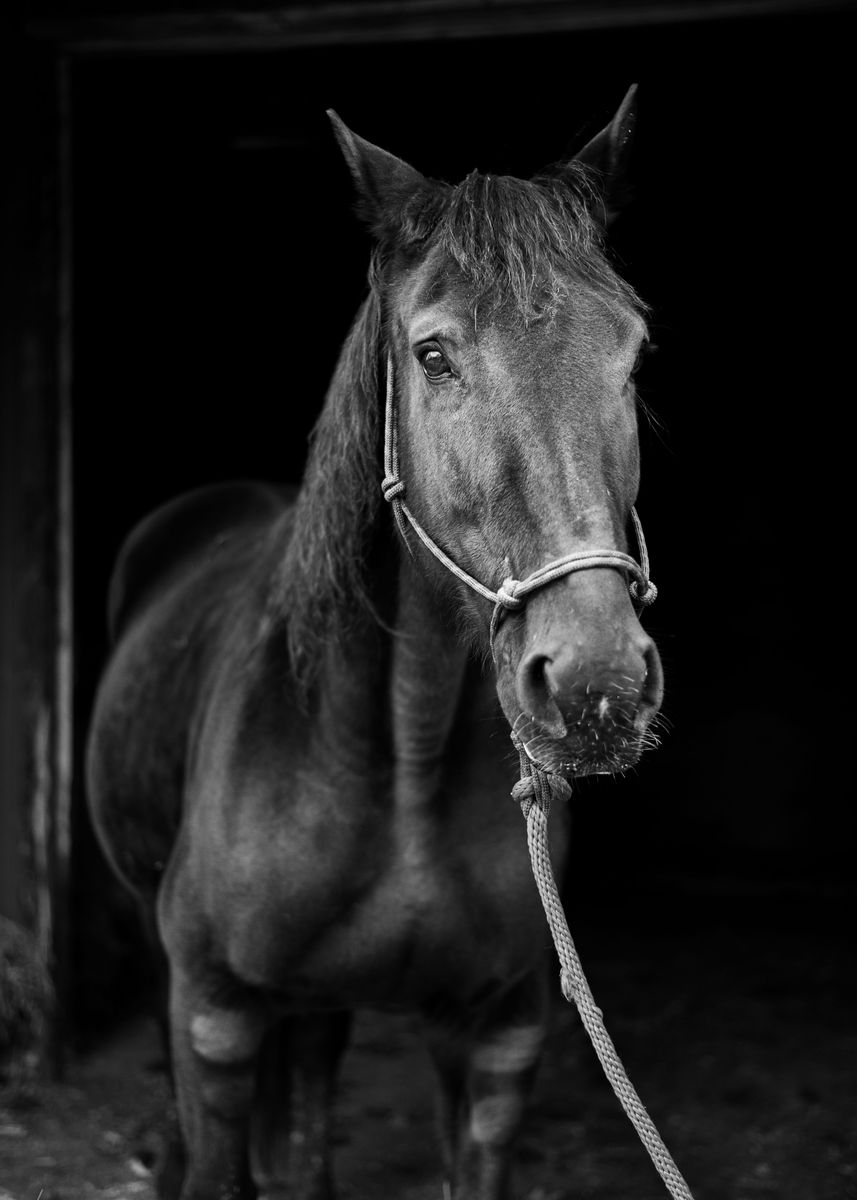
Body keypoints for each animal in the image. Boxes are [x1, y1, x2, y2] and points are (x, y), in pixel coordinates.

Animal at [86, 85, 663, 1200]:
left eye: (634, 353)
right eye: (433, 355)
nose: (595, 682)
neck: (394, 754)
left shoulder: (497, 1042)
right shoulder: (215, 1018)